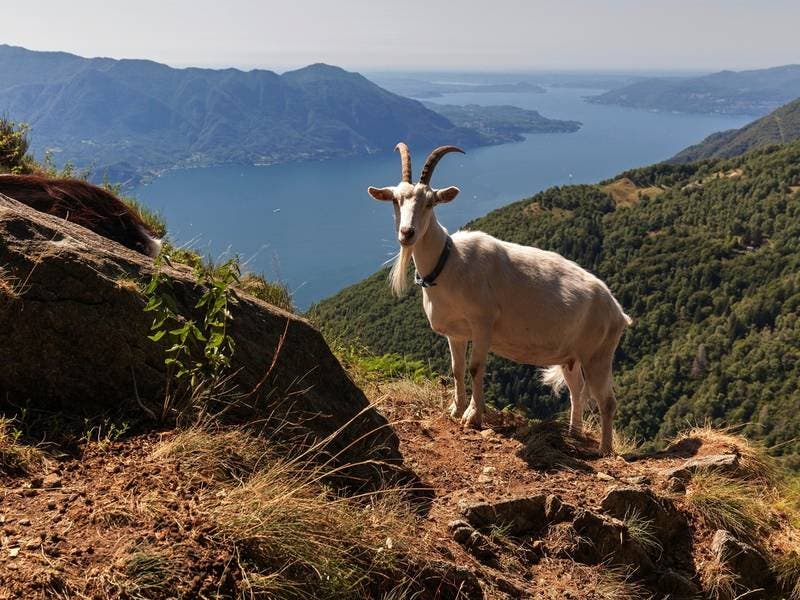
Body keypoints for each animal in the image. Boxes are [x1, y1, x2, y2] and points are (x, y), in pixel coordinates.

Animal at [367, 143, 632, 455]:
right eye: (396, 200)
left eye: (431, 202)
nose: (407, 233)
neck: (449, 262)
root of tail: (618, 312)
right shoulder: (456, 333)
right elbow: (456, 369)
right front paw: (455, 409)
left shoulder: (483, 323)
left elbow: (475, 367)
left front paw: (473, 416)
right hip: (572, 357)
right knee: (576, 391)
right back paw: (573, 434)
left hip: (599, 353)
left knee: (607, 401)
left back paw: (604, 450)